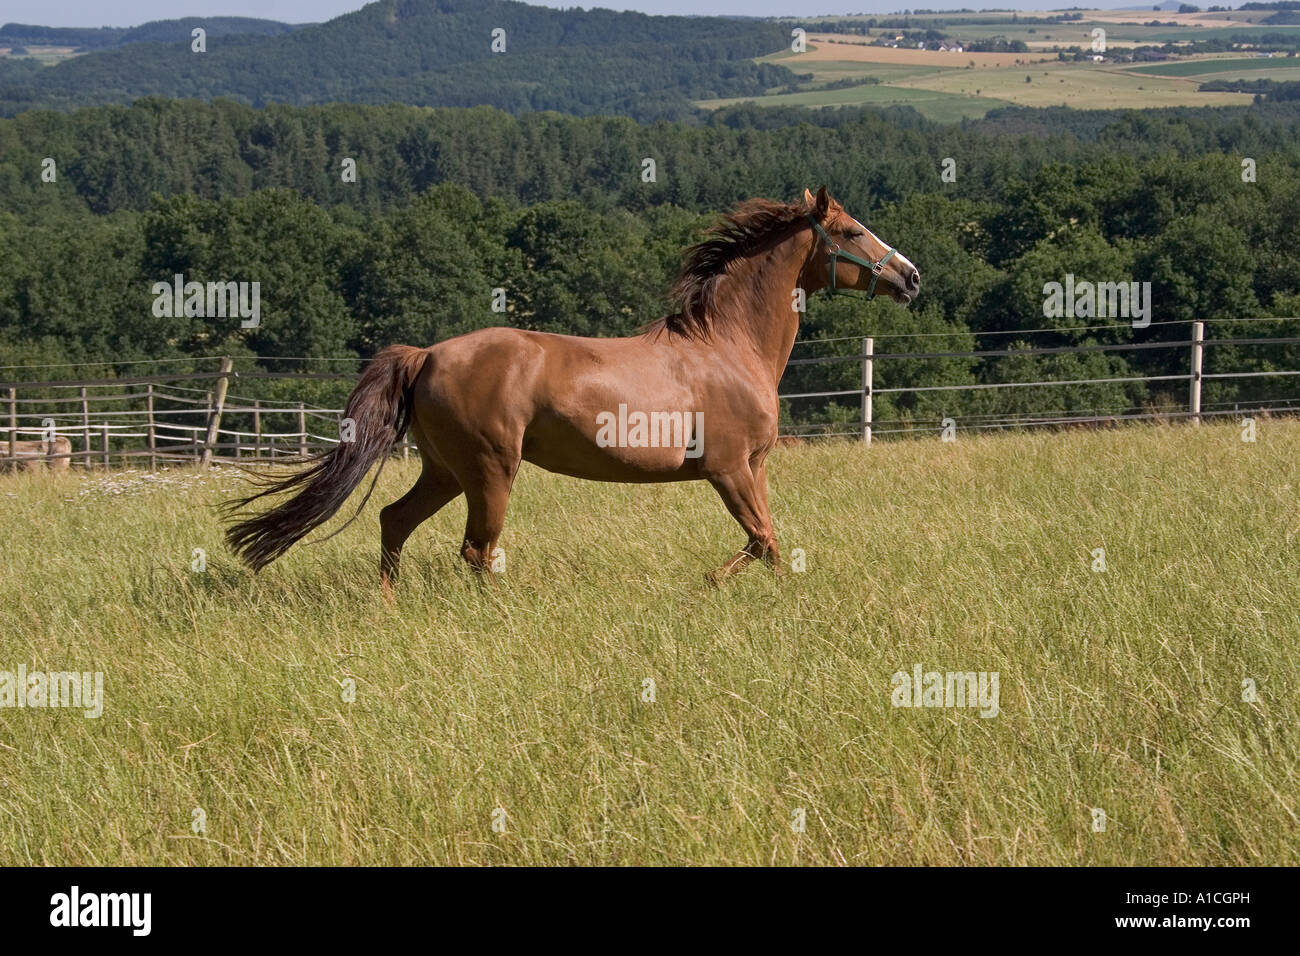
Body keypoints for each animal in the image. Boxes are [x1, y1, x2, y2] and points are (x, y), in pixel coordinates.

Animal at [224, 187, 919, 590]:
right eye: (852, 232)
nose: (911, 277)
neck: (728, 345)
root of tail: (426, 356)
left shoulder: (756, 467)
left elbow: (766, 538)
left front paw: (725, 584)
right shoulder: (728, 471)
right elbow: (765, 542)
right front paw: (723, 585)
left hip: (446, 470)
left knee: (396, 521)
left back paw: (389, 603)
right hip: (489, 470)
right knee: (476, 550)